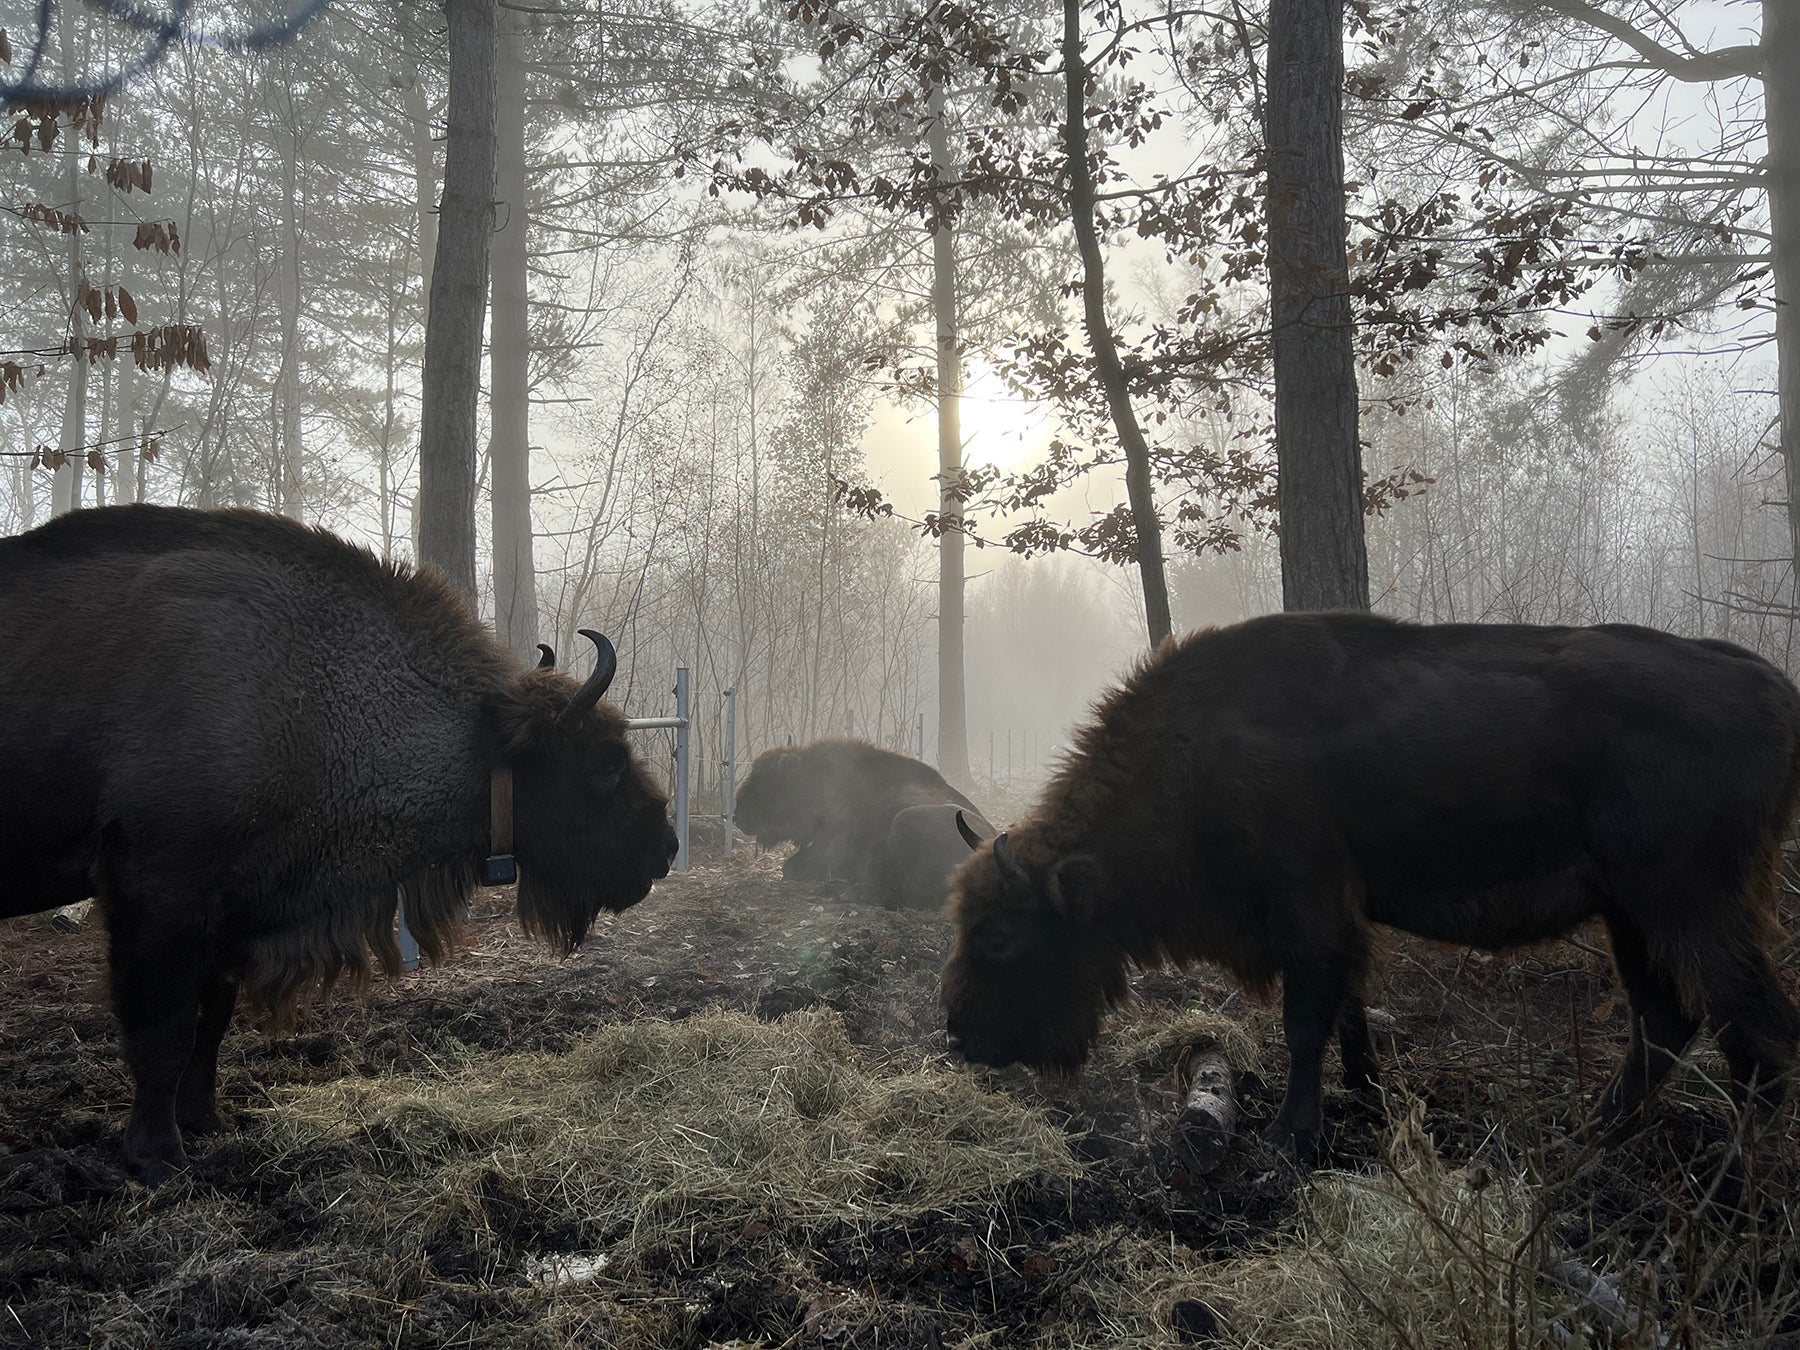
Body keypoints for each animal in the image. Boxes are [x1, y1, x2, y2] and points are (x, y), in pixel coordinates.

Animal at [0, 505, 679, 1179]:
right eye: (607, 761)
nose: (666, 847)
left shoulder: (224, 913)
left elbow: (210, 1020)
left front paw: (205, 1123)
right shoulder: (157, 896)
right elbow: (162, 1031)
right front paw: (158, 1157)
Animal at [942, 611, 1800, 1157]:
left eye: (999, 936)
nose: (962, 1037)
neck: (1194, 758)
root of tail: (1773, 687)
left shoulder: (1309, 911)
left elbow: (1304, 1023)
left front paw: (1288, 1137)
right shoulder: (1337, 923)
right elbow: (1348, 1013)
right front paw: (1365, 1095)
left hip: (1689, 904)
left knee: (1753, 1028)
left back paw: (1737, 1176)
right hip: (1631, 914)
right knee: (1670, 1018)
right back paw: (1593, 1135)